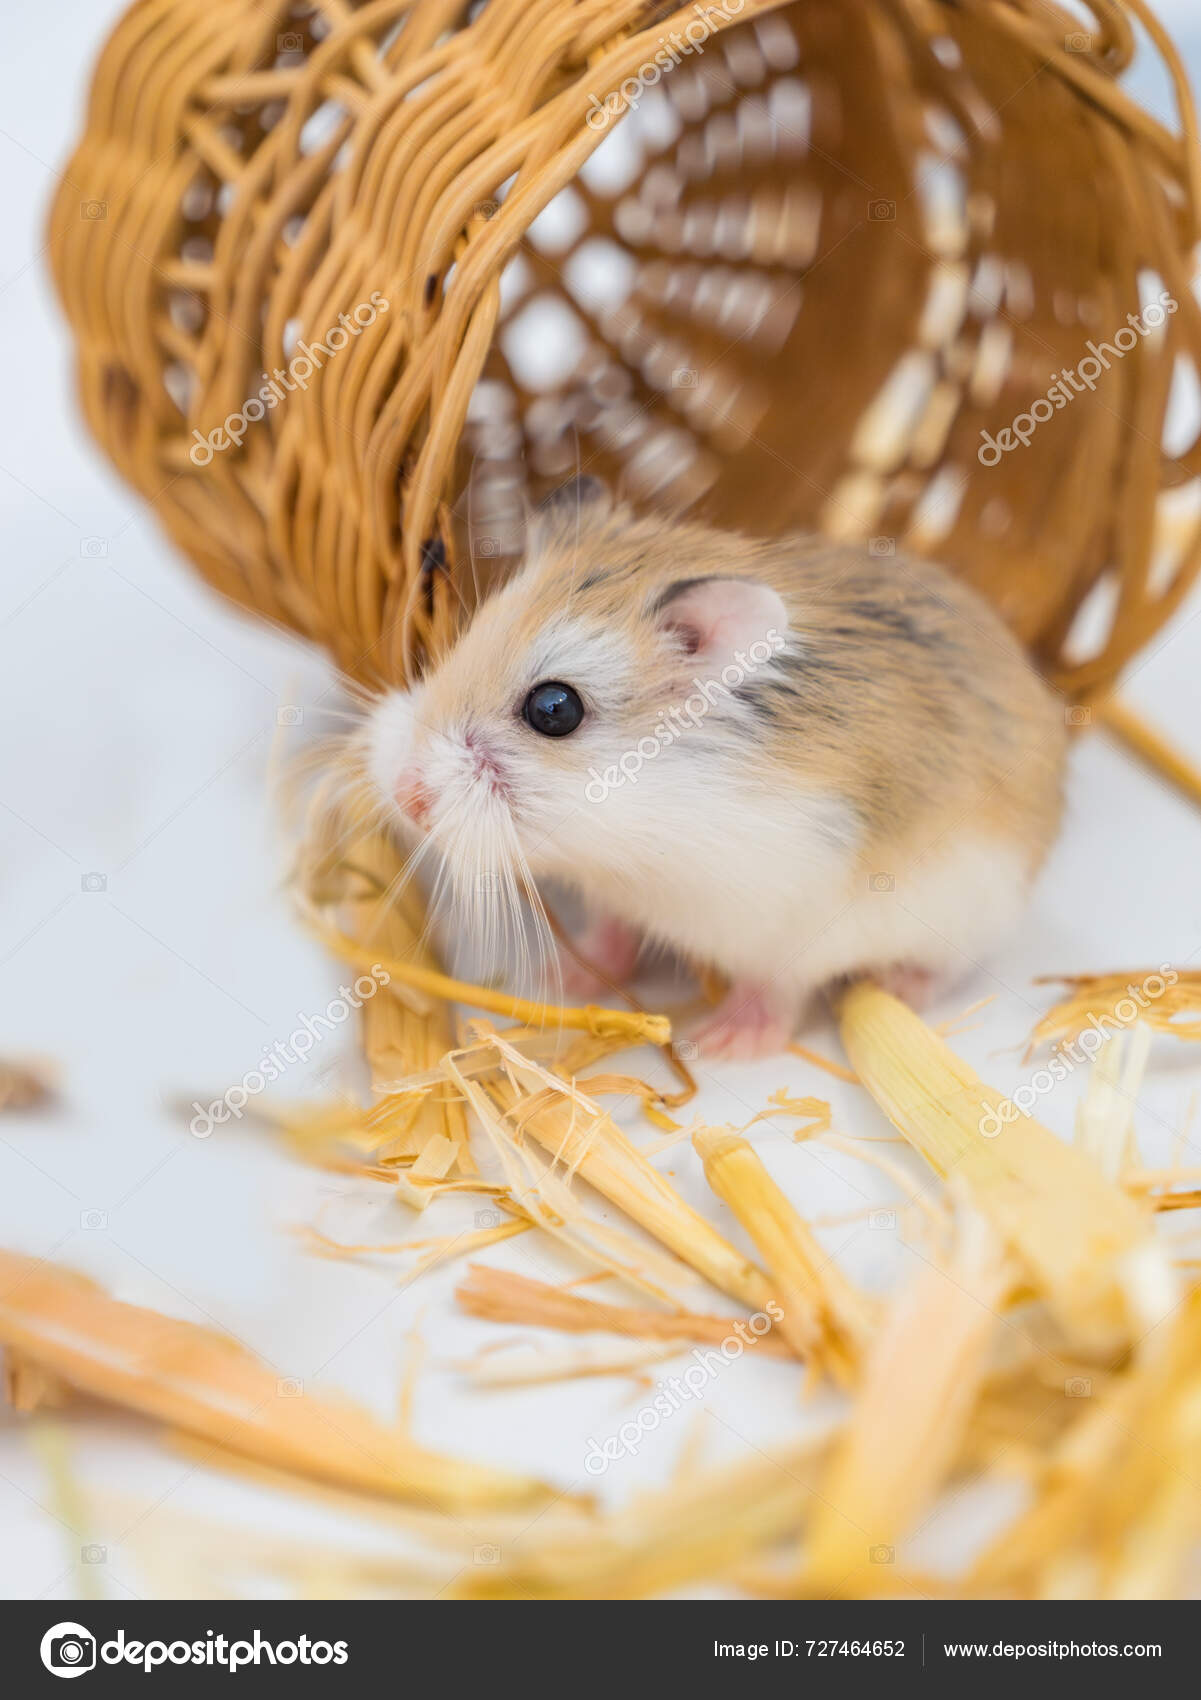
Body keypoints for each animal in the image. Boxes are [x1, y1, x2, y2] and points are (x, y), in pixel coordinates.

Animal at [362, 479, 1066, 1059]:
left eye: (554, 709)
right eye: (469, 636)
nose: (406, 794)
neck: (644, 833)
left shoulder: (800, 924)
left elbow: (776, 990)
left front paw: (724, 1046)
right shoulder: (618, 898)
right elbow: (612, 934)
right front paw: (566, 977)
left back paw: (899, 985)